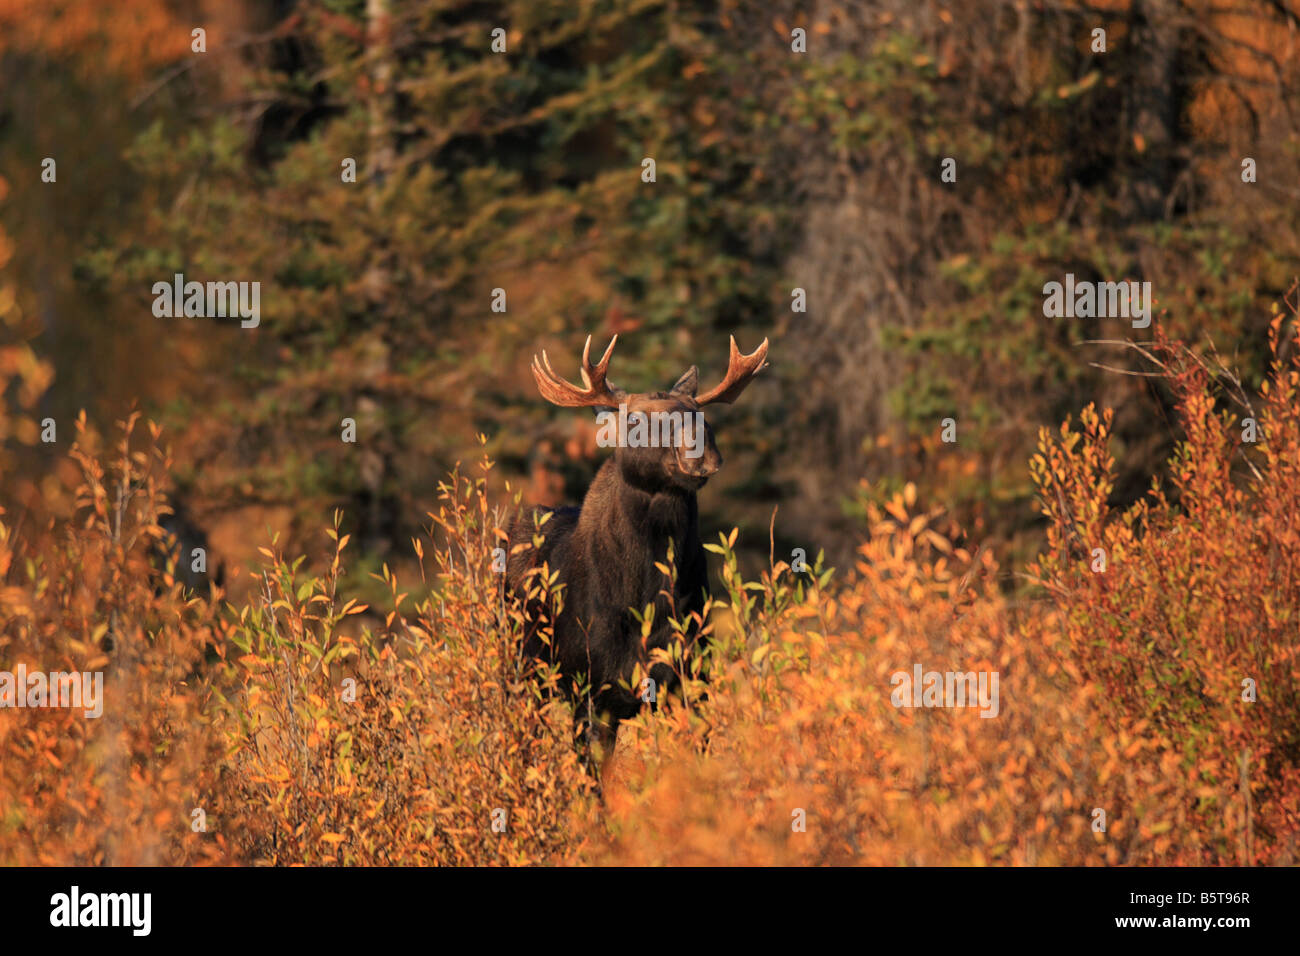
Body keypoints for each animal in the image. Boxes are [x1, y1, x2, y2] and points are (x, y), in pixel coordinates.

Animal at [505, 333, 769, 770]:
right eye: (634, 421)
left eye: (701, 415)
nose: (700, 450)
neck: (646, 596)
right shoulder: (592, 692)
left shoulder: (691, 684)